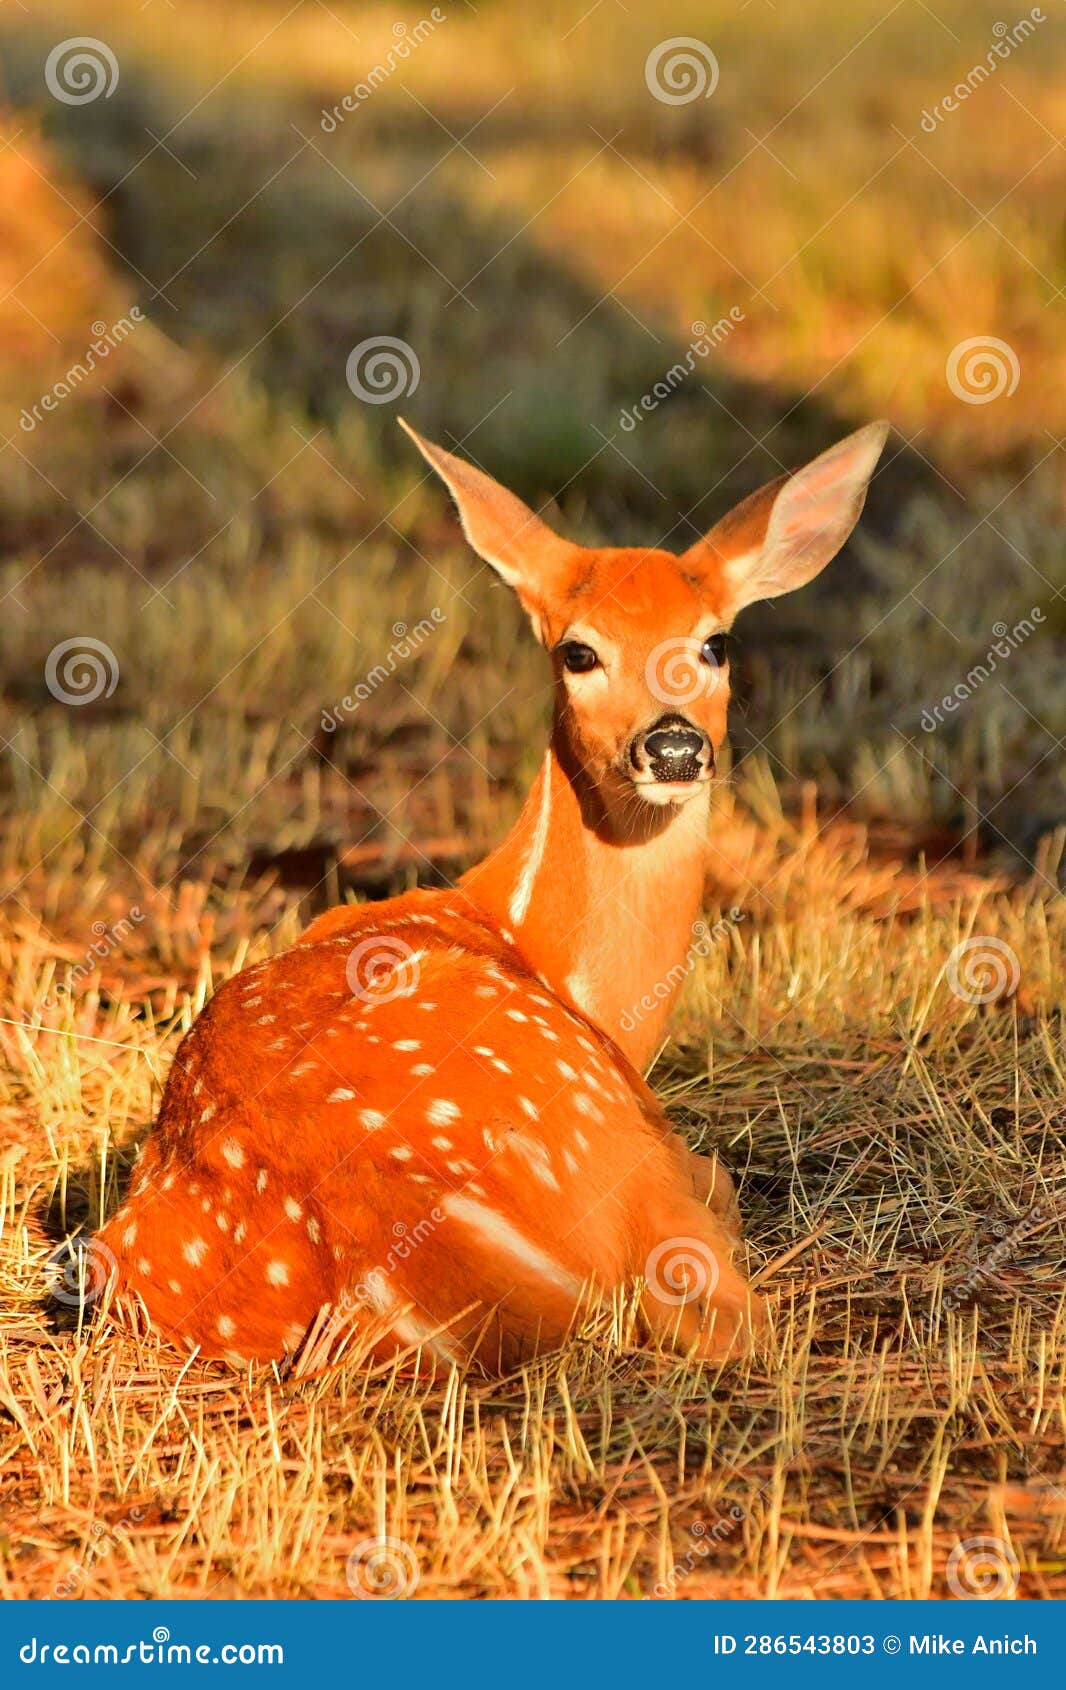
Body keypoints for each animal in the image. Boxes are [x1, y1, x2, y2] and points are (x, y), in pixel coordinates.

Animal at [94, 417, 888, 1373]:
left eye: (714, 643)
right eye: (579, 651)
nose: (672, 746)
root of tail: (394, 1234)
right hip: (603, 1132)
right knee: (726, 1310)